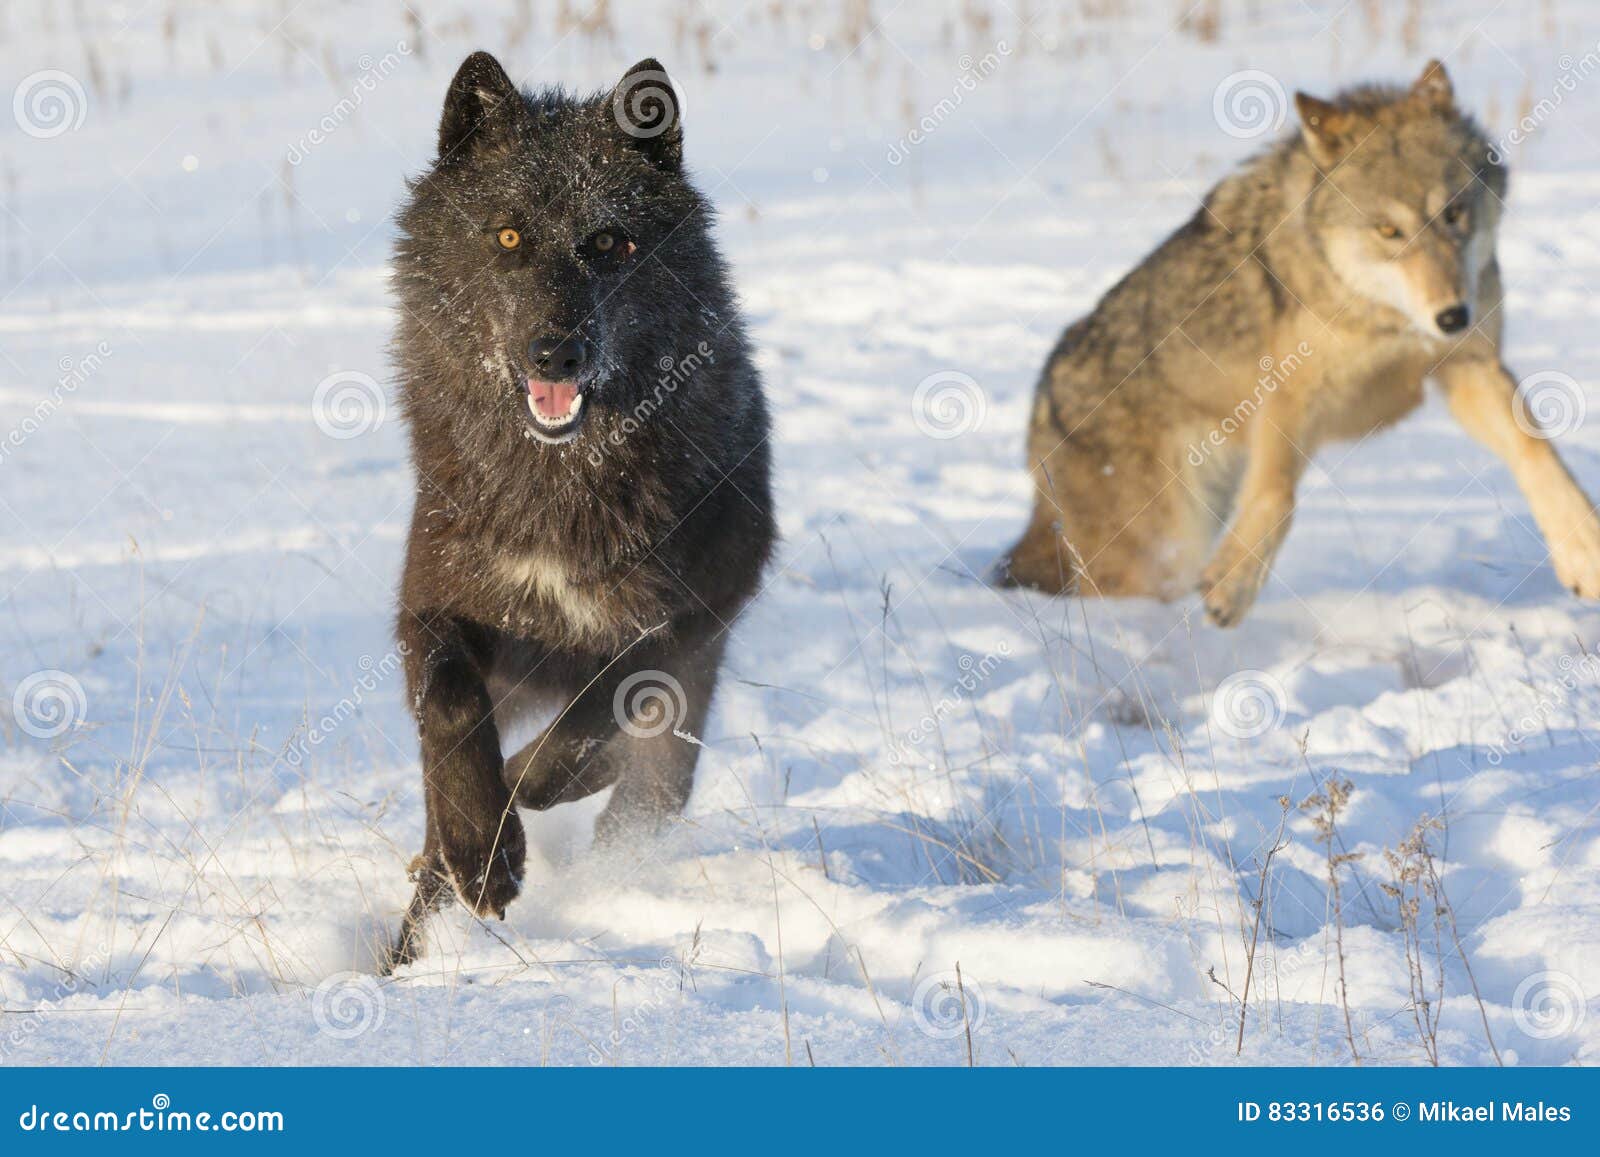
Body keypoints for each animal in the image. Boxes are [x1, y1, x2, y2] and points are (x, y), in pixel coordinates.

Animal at [386, 52, 774, 968]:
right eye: (508, 237)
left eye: (608, 243)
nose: (554, 352)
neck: (556, 481)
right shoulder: (430, 605)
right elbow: (450, 709)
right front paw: (486, 851)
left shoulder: (688, 613)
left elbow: (609, 697)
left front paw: (527, 782)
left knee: (641, 790)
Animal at [1000, 61, 1600, 626]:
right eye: (1388, 231)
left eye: (1454, 214)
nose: (1453, 316)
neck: (1379, 315)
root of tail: (1041, 410)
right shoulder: (1289, 396)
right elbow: (1279, 493)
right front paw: (1234, 586)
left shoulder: (1467, 368)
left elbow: (1537, 451)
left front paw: (1586, 555)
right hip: (1159, 553)